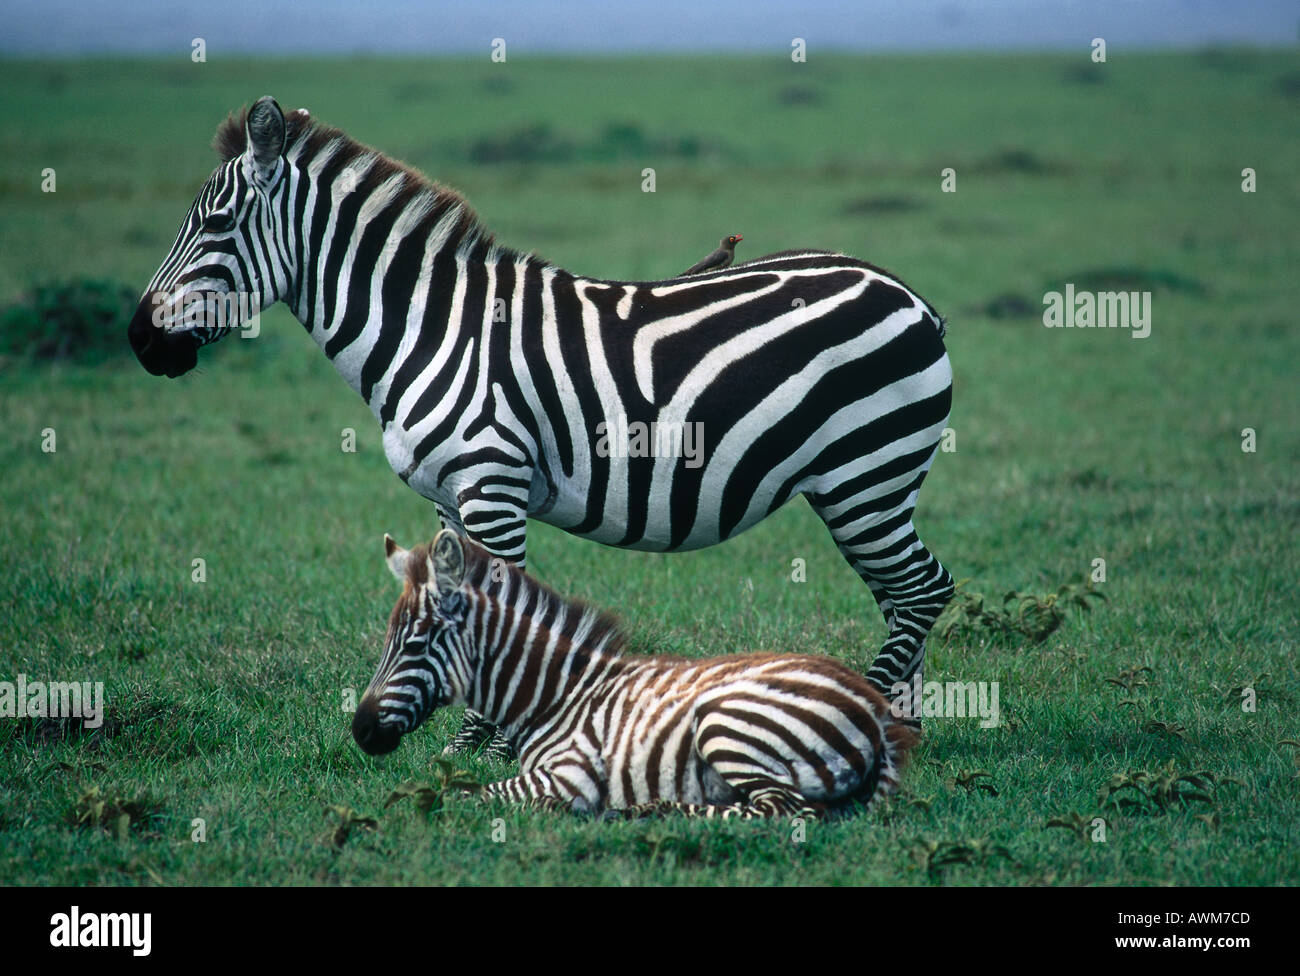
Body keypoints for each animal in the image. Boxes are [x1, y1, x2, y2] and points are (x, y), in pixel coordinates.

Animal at [128, 95, 955, 754]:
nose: (138, 340)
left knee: (922, 591)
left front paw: (484, 747)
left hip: (865, 473)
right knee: (906, 596)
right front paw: (469, 744)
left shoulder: (492, 482)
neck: (429, 329)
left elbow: (497, 608)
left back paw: (868, 721)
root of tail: (907, 292)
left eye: (217, 224)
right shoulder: (447, 498)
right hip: (868, 483)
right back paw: (901, 729)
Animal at [353, 530, 917, 818]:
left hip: (727, 725)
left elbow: (462, 794)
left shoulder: (568, 774)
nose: (359, 732)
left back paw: (648, 810)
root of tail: (873, 708)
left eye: (415, 645)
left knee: (781, 811)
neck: (553, 696)